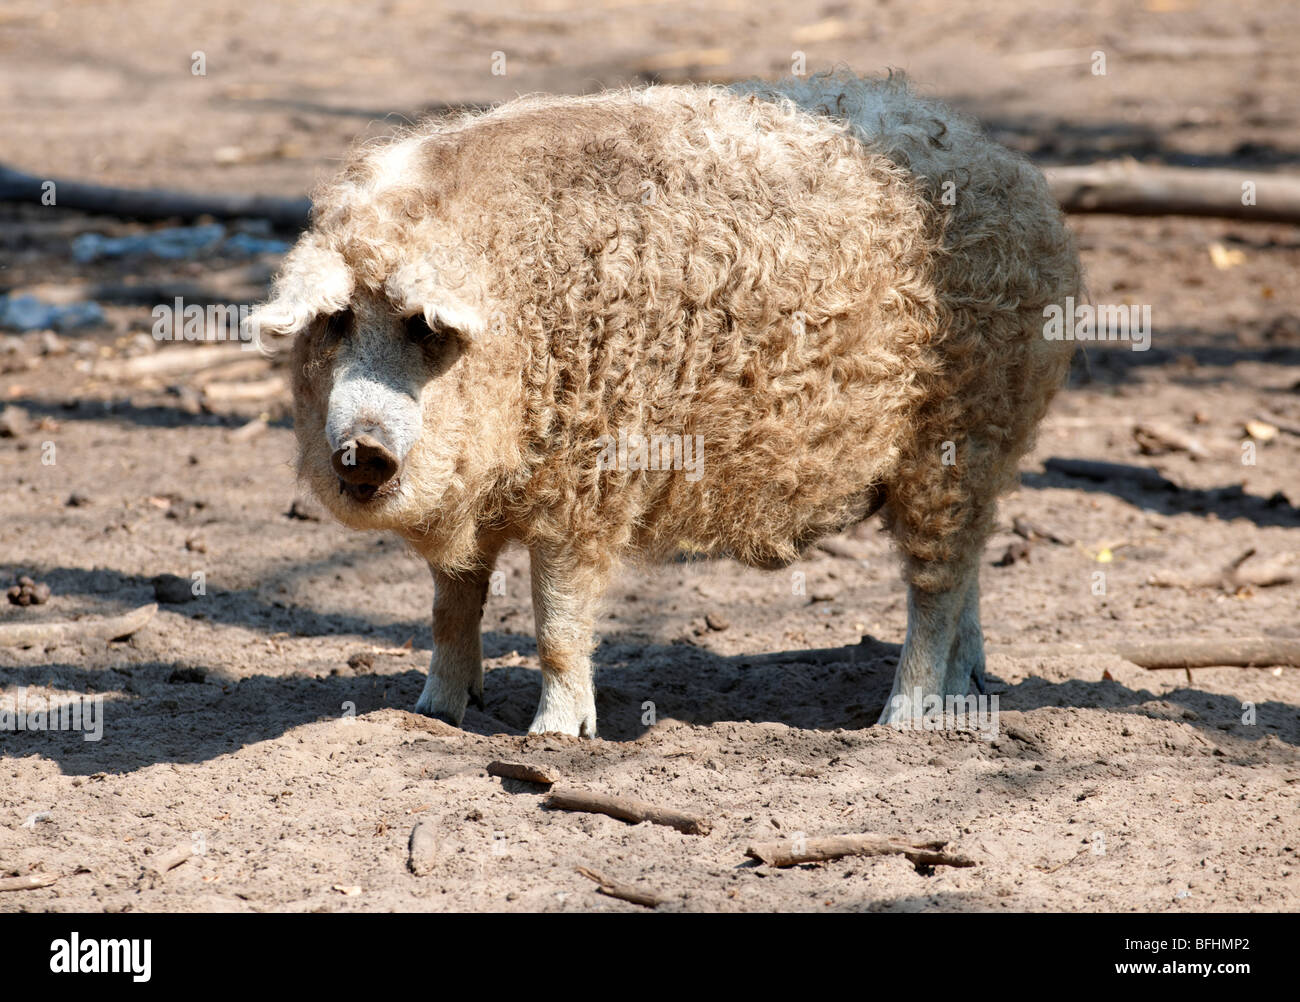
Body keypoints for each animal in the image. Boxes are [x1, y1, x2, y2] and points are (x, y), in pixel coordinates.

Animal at [247, 71, 1081, 736]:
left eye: (422, 327)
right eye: (336, 321)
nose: (361, 448)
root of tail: (1021, 181)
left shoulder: (587, 485)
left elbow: (558, 619)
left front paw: (552, 738)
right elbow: (453, 605)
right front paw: (434, 715)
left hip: (959, 436)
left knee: (934, 586)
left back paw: (898, 725)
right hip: (971, 459)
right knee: (968, 574)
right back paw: (967, 696)